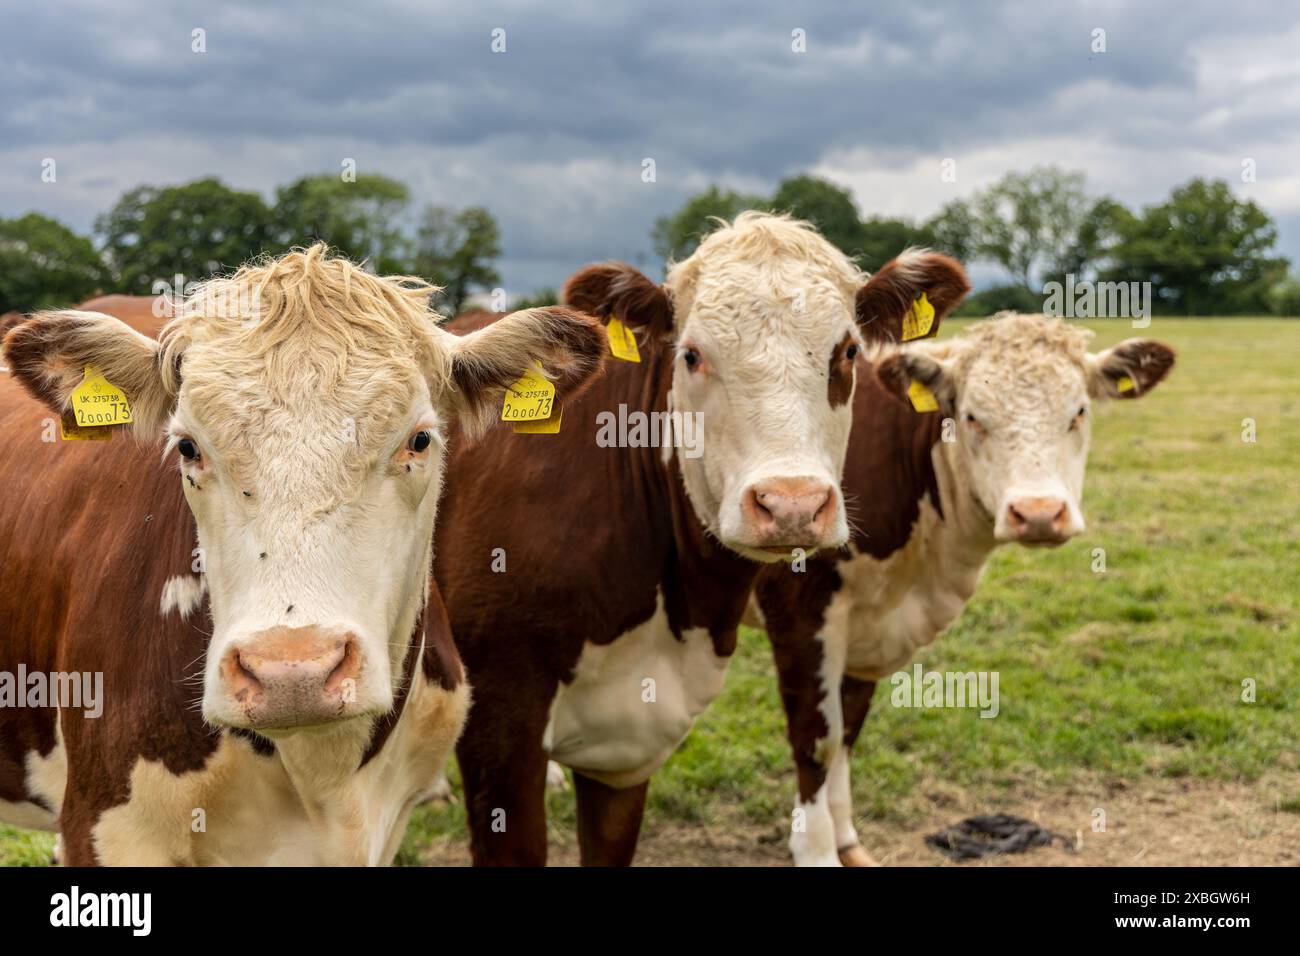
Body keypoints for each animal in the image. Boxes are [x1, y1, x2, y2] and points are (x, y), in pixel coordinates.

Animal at [753, 311, 1176, 866]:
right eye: (973, 417)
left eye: (1079, 412)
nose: (1038, 513)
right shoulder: (800, 612)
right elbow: (815, 741)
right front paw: (818, 850)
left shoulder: (868, 625)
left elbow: (847, 730)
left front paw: (847, 840)